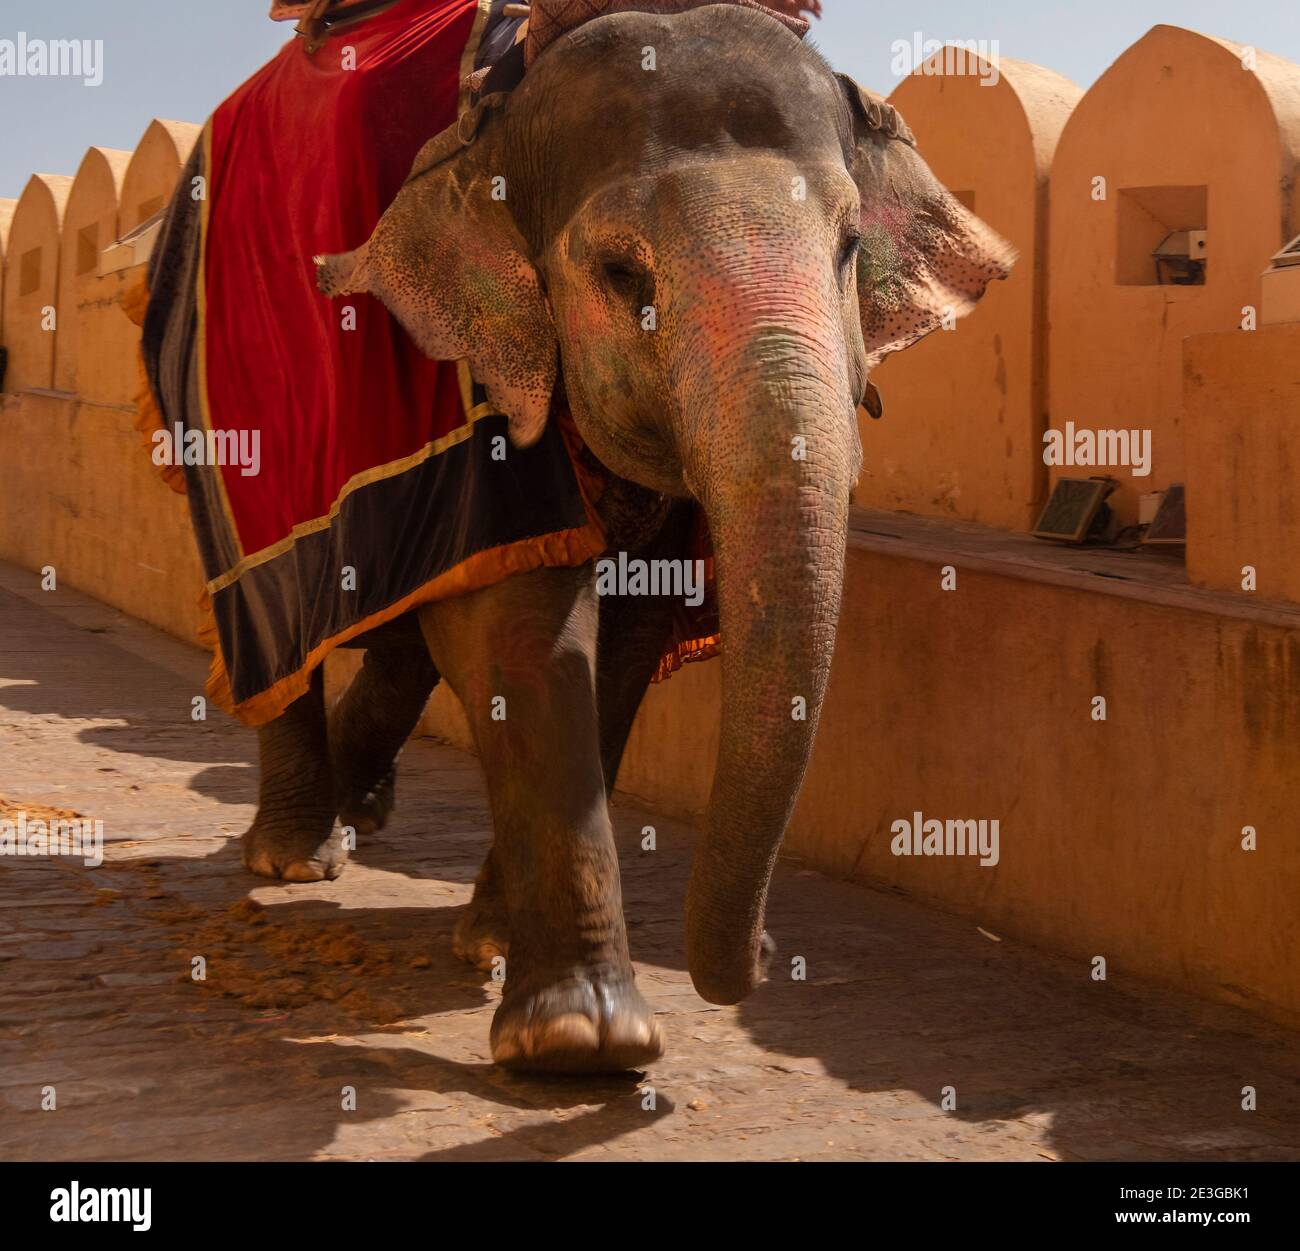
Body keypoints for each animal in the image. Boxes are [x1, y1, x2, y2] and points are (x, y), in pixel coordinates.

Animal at [196, 3, 1014, 1073]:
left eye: (847, 249)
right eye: (625, 274)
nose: (762, 953)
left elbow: (625, 643)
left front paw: (495, 943)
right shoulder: (472, 382)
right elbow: (521, 628)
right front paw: (583, 1036)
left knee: (406, 632)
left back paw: (356, 810)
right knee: (286, 629)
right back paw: (294, 854)